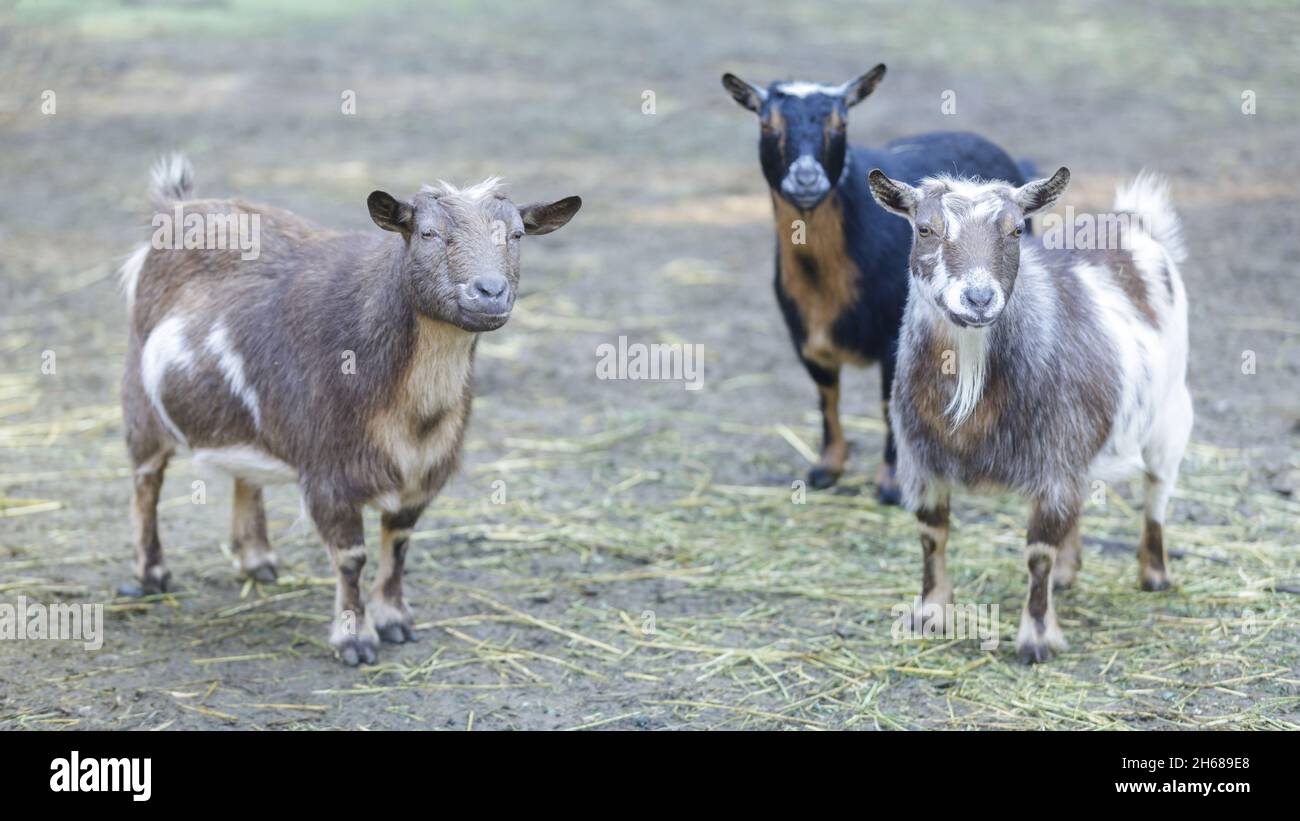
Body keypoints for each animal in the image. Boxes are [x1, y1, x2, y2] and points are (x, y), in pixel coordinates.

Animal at [118, 155, 581, 665]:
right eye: (427, 233)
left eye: (517, 235)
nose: (489, 292)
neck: (413, 414)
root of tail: (175, 207)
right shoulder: (329, 472)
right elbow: (351, 557)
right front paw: (355, 639)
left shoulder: (422, 472)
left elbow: (397, 546)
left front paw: (395, 620)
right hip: (140, 398)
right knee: (146, 481)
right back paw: (151, 575)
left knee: (245, 473)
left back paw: (257, 560)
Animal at [722, 65, 1033, 502]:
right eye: (767, 123)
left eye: (841, 123)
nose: (806, 179)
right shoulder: (806, 337)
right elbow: (827, 396)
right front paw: (827, 467)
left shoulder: (890, 333)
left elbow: (888, 401)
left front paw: (891, 482)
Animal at [867, 166, 1192, 662]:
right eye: (924, 229)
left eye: (1016, 229)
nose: (979, 298)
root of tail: (1132, 222)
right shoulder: (920, 461)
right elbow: (931, 537)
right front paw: (930, 614)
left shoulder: (1055, 462)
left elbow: (1038, 553)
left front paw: (1036, 638)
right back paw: (1069, 573)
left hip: (1170, 413)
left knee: (1157, 493)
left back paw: (1154, 574)